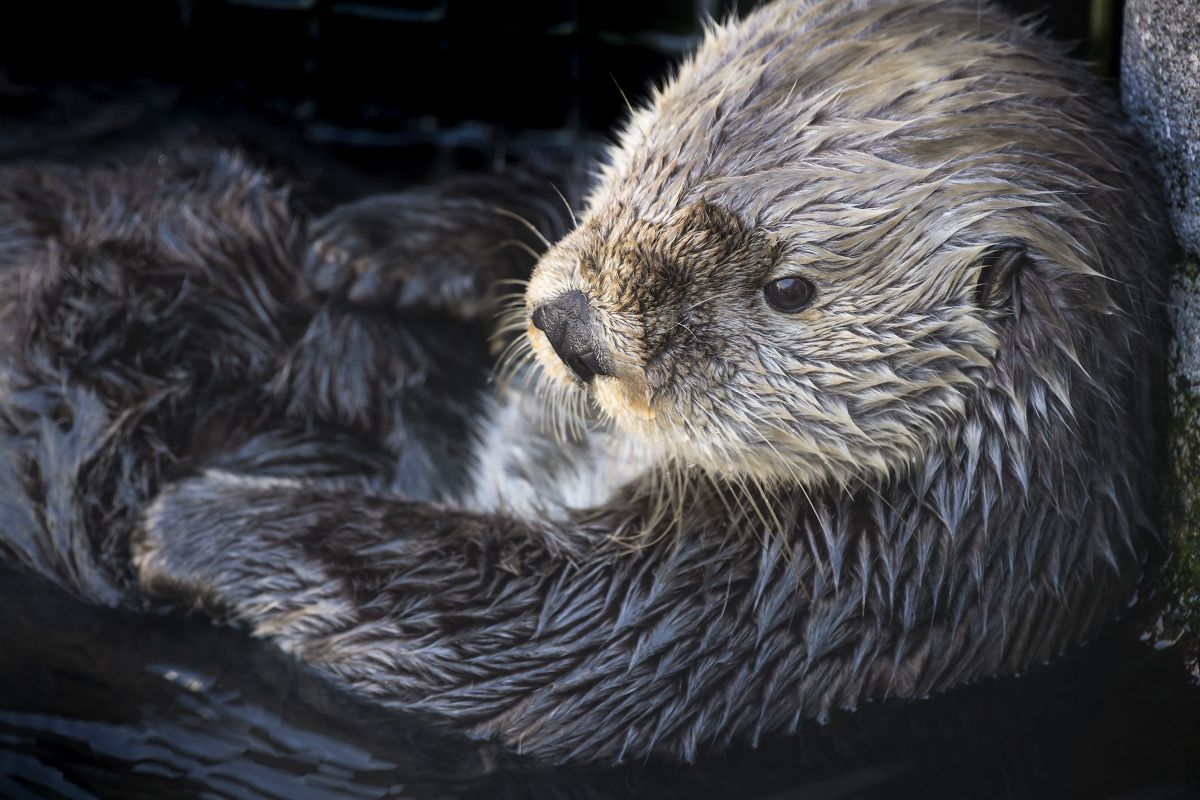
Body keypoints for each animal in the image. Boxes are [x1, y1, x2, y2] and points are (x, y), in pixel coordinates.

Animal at [3, 0, 1173, 766]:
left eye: (789, 288)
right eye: (640, 146)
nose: (572, 327)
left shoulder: (768, 592)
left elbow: (497, 626)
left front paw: (195, 520)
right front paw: (380, 242)